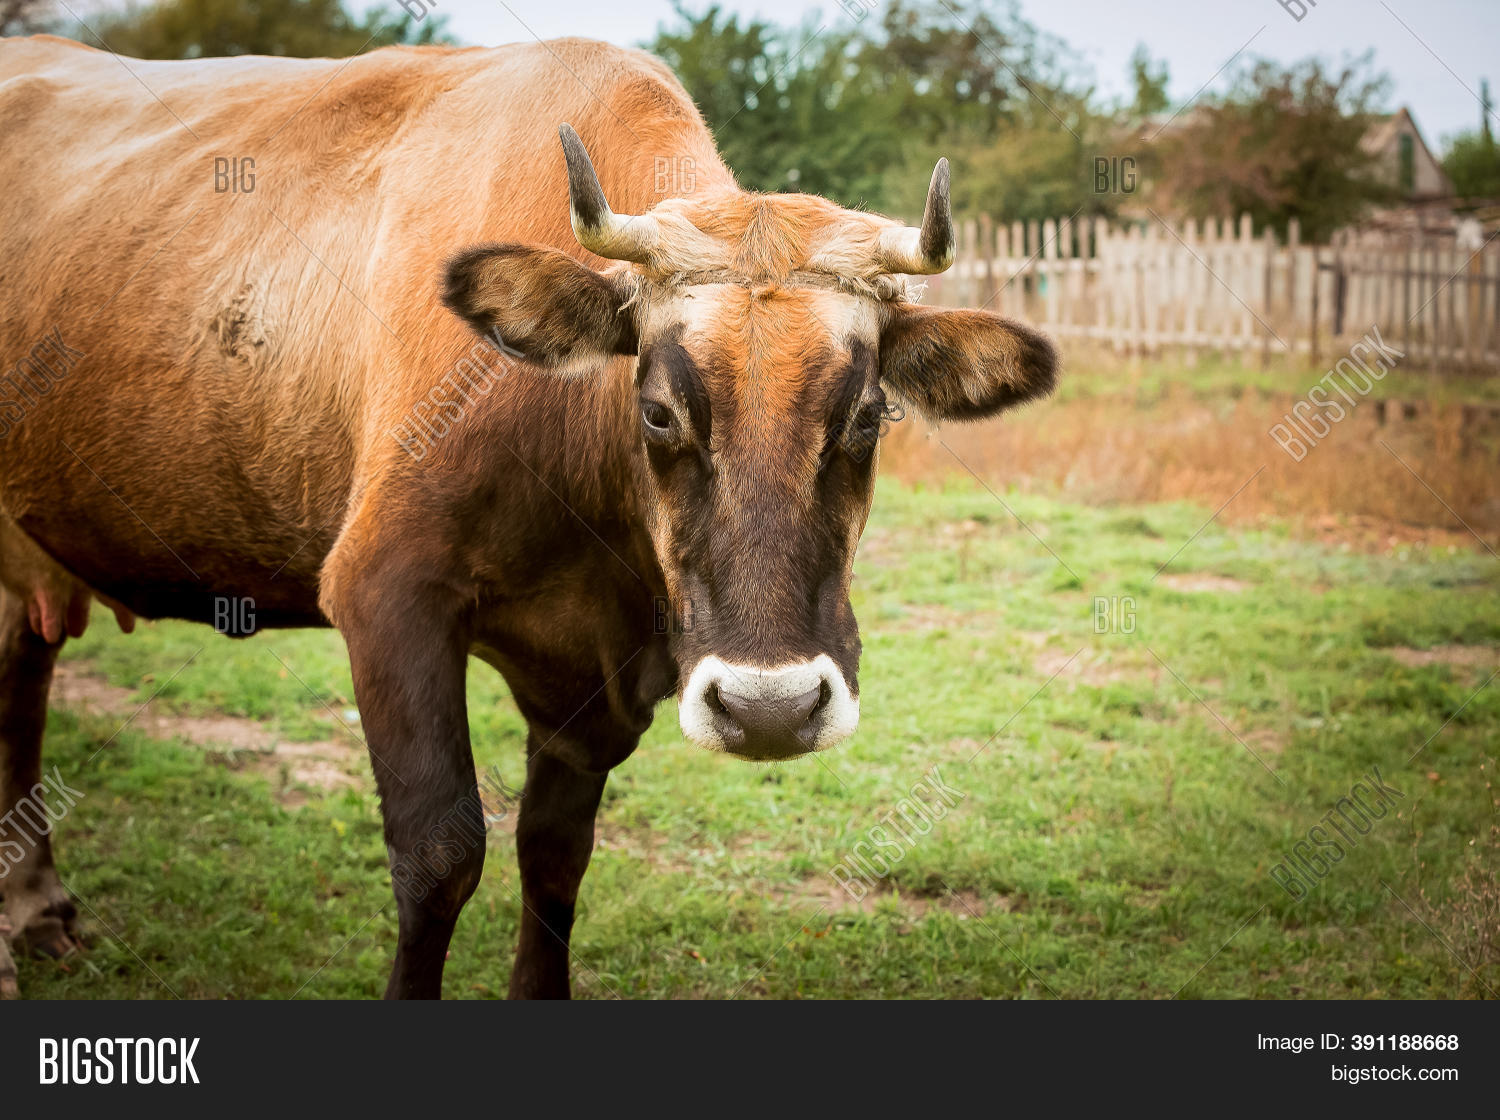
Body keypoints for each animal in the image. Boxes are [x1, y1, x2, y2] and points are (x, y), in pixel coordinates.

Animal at [0, 33, 1056, 999]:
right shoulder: (385, 594)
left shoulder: (591, 677)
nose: (770, 708)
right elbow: (440, 856)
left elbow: (554, 857)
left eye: (869, 414)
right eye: (656, 411)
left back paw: (38, 907)